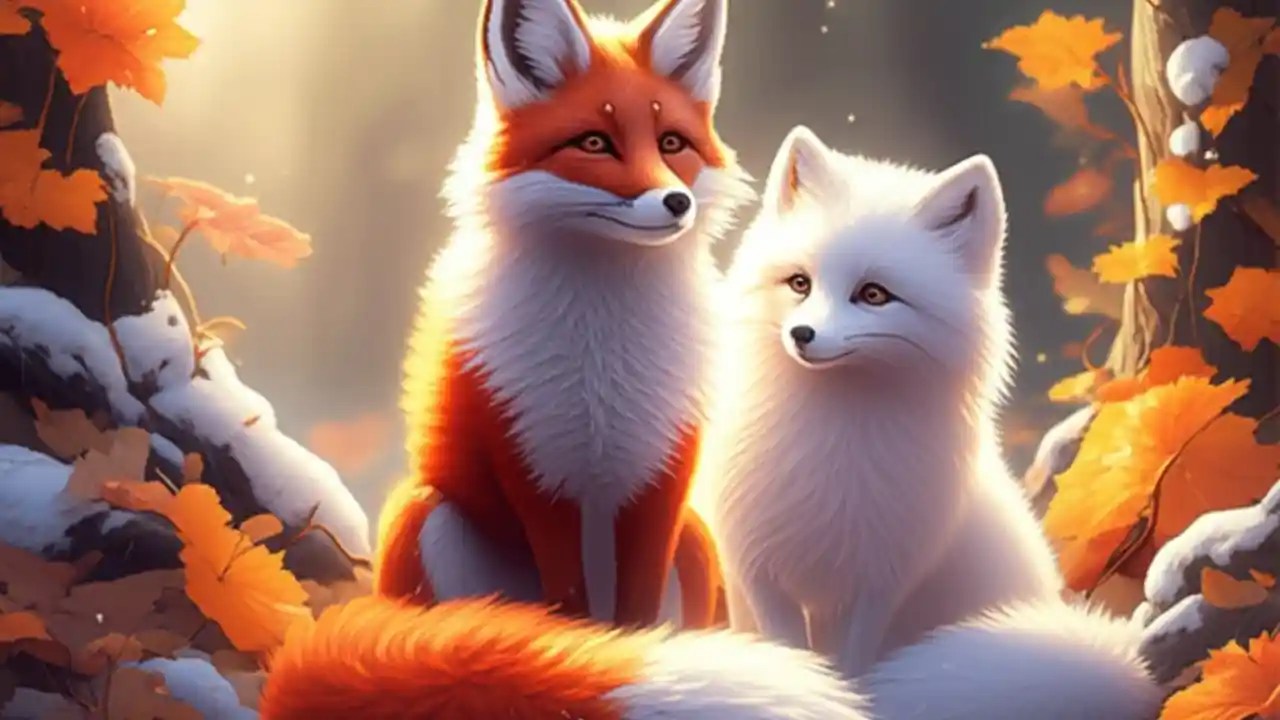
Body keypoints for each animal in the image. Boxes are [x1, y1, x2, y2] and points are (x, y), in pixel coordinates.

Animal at [374, 0, 753, 631]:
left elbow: (640, 602)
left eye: (672, 142)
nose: (677, 202)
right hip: (425, 515)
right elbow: (570, 601)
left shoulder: (664, 469)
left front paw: (640, 648)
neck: (602, 359)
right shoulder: (534, 464)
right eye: (595, 143)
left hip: (696, 539)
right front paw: (589, 647)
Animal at [699, 125, 1165, 717]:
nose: (802, 335)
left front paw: (845, 697)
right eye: (800, 283)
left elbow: (848, 663)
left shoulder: (877, 582)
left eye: (873, 294)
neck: (831, 444)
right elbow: (788, 649)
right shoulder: (756, 568)